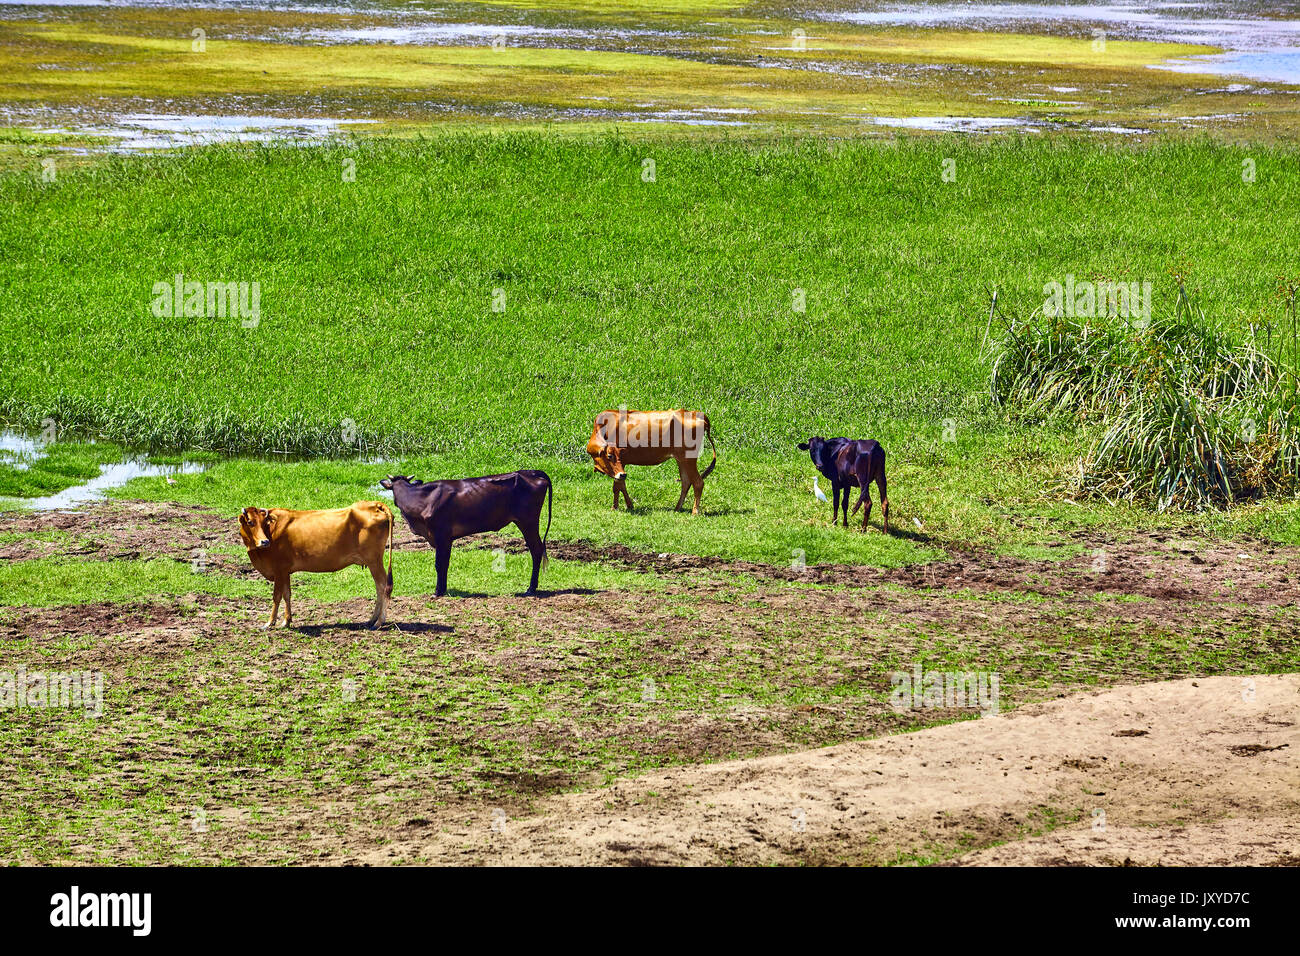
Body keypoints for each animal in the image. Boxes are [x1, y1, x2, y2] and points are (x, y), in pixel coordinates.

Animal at [238, 501, 394, 629]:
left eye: (264, 522)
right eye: (250, 522)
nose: (264, 542)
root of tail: (374, 504)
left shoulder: (278, 570)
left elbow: (276, 596)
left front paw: (270, 622)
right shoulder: (285, 571)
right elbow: (287, 594)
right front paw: (286, 621)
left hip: (374, 561)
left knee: (383, 586)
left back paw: (379, 622)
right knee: (379, 588)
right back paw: (372, 620)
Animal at [380, 471, 552, 597]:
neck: (421, 499)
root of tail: (531, 472)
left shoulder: (441, 535)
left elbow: (439, 564)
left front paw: (437, 592)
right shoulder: (446, 539)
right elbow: (445, 563)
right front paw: (443, 589)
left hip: (527, 522)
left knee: (537, 550)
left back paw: (530, 589)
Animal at [586, 409, 717, 514]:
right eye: (609, 456)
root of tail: (695, 413)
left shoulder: (621, 466)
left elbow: (617, 487)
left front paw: (615, 507)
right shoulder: (620, 469)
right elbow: (620, 486)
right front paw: (628, 505)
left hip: (688, 459)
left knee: (698, 483)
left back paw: (695, 511)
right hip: (681, 460)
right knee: (686, 482)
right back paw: (677, 508)